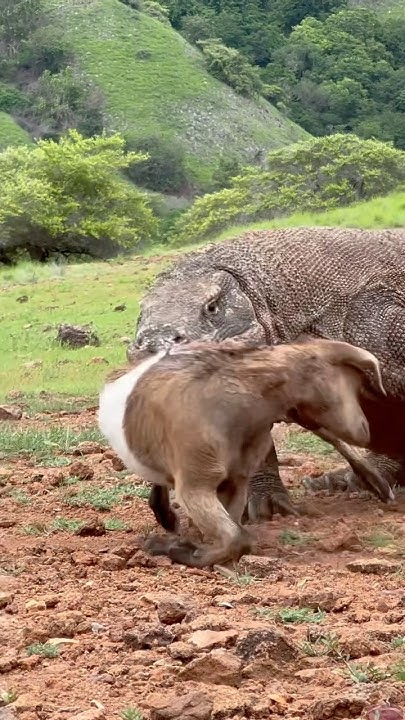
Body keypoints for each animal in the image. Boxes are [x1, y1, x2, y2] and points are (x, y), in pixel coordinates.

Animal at [98, 338, 390, 569]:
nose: (366, 430)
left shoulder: (236, 481)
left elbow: (236, 536)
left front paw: (185, 546)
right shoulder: (195, 484)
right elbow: (235, 537)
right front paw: (174, 547)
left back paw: (376, 482)